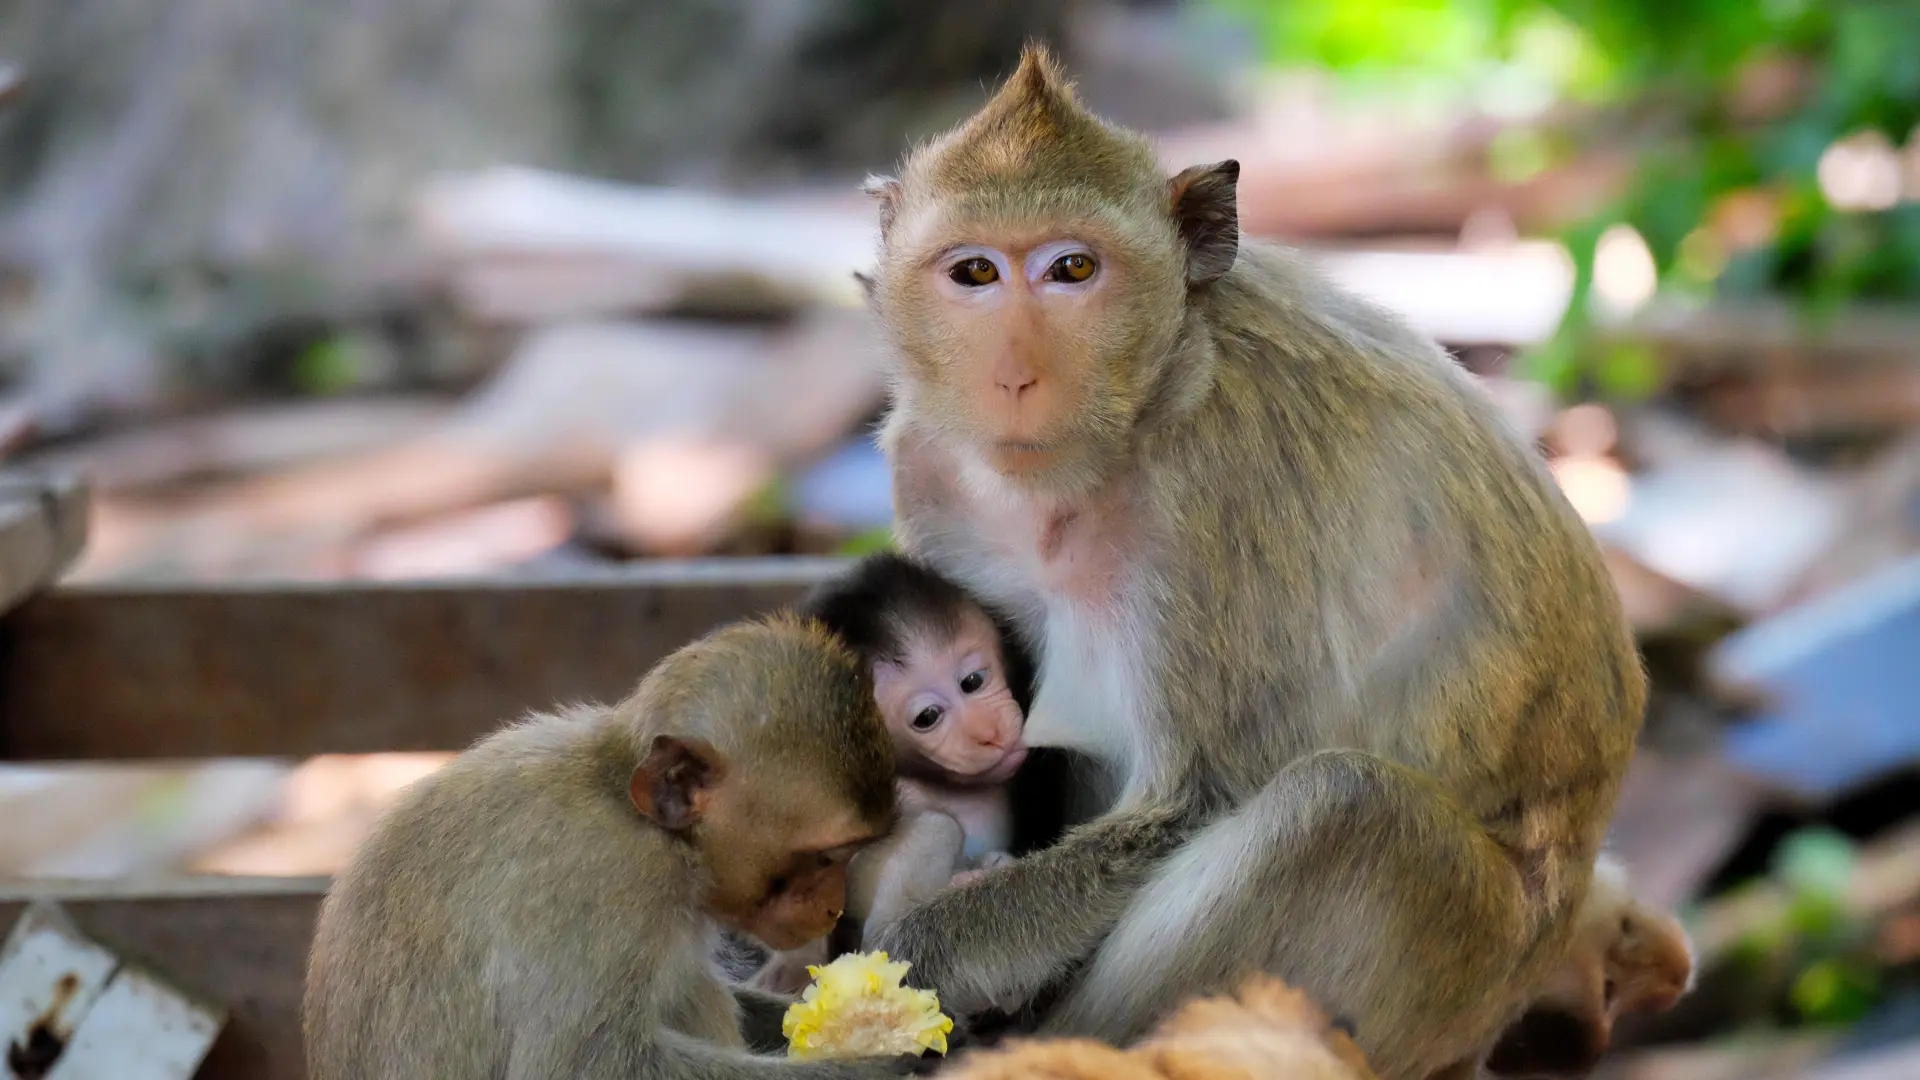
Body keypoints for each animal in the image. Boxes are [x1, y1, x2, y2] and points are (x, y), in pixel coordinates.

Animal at [302, 614, 918, 1080]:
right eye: (824, 855)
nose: (833, 906)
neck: (632, 809)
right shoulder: (609, 888)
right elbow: (579, 1067)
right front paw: (878, 1066)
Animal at [851, 44, 1647, 1080]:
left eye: (1072, 269)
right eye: (975, 272)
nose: (1016, 373)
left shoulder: (1218, 486)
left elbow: (1201, 802)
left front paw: (914, 960)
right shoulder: (931, 469)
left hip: (1465, 953)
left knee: (1342, 807)